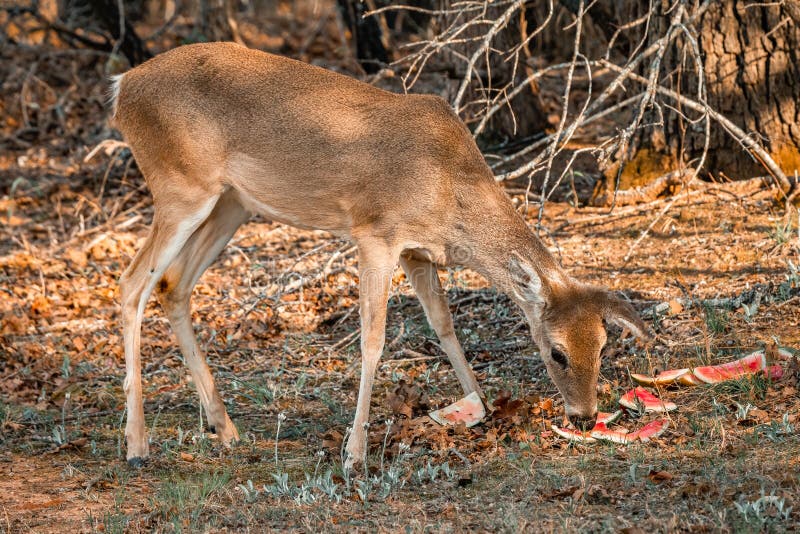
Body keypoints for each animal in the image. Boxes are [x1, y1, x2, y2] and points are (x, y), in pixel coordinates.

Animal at [110, 42, 650, 469]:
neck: (448, 182)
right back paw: (137, 444)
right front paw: (355, 454)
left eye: (604, 346)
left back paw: (224, 429)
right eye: (557, 352)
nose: (585, 417)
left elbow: (444, 326)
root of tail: (122, 87)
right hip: (180, 187)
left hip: (231, 203)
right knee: (132, 283)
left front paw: (479, 407)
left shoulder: (418, 252)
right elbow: (373, 340)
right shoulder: (375, 234)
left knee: (172, 285)